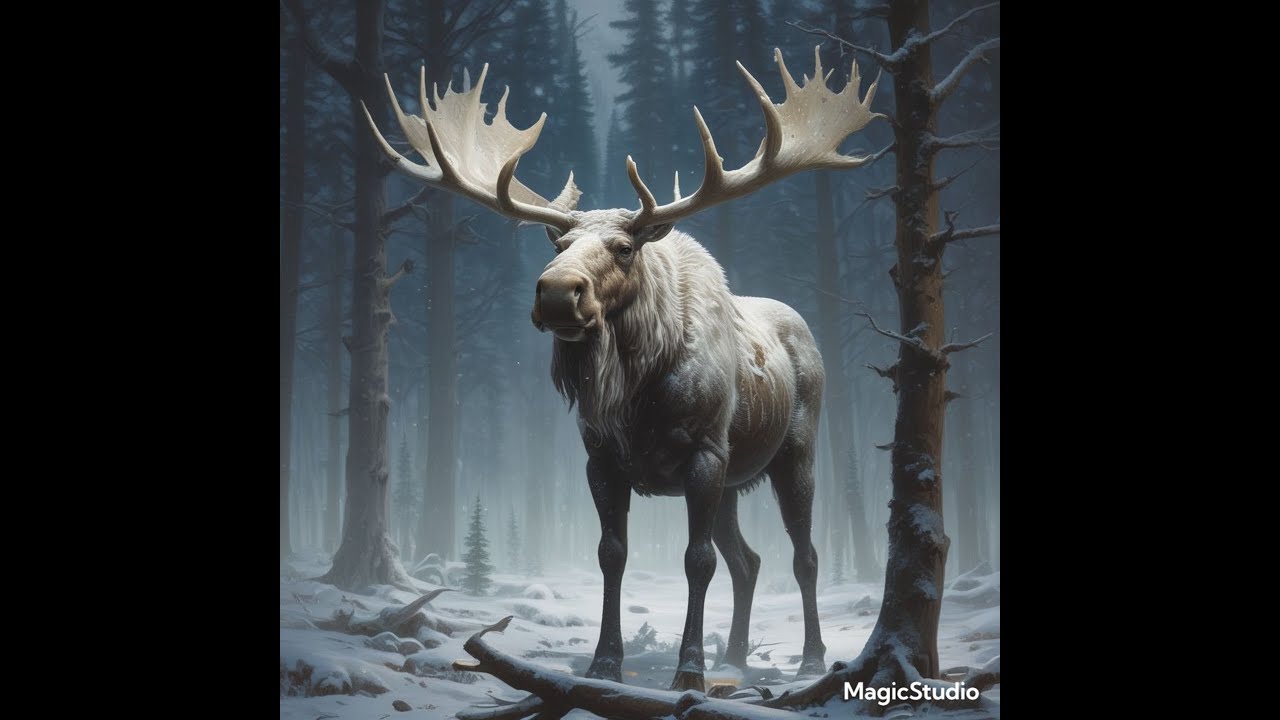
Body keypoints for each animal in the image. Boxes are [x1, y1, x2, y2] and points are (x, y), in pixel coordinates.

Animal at [364, 47, 882, 692]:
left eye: (625, 248)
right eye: (557, 244)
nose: (557, 292)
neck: (637, 393)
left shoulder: (704, 454)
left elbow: (696, 560)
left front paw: (688, 670)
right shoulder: (602, 458)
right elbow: (612, 553)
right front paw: (605, 662)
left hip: (794, 453)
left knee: (801, 554)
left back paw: (810, 657)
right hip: (734, 481)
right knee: (748, 560)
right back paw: (735, 657)